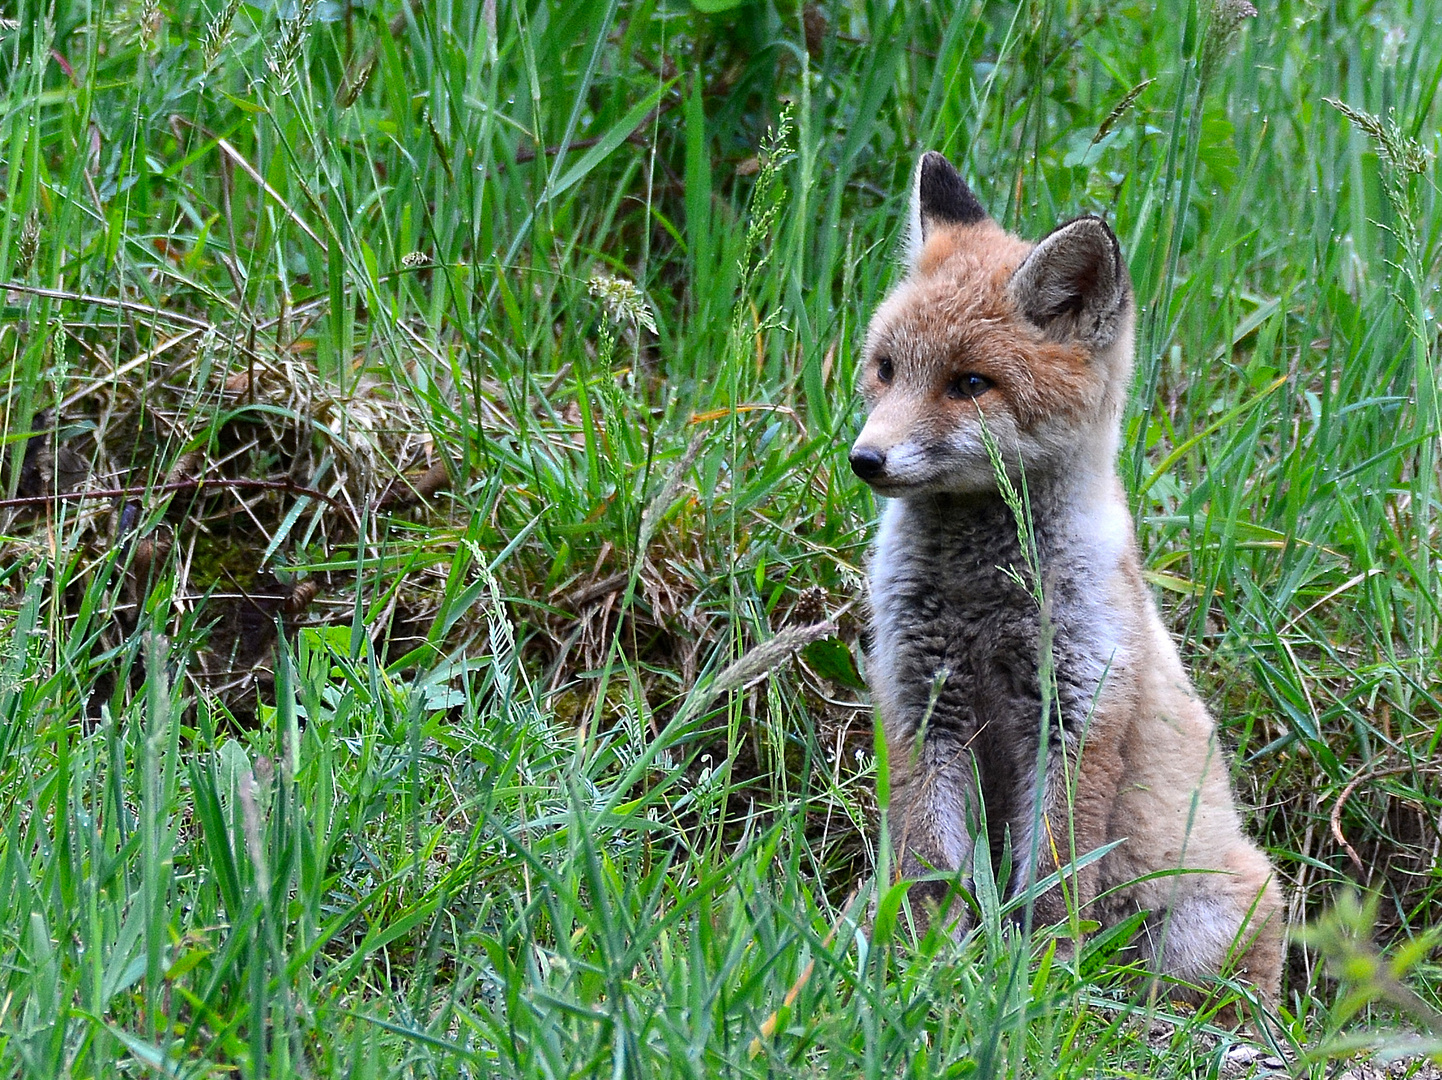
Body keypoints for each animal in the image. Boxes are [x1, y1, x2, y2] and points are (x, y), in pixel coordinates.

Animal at [847, 149, 1280, 1003]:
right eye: (886, 369)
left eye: (968, 383)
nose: (866, 459)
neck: (981, 595)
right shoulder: (922, 704)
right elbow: (931, 872)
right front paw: (928, 968)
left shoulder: (1078, 711)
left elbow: (1051, 882)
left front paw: (1036, 985)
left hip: (1205, 926)